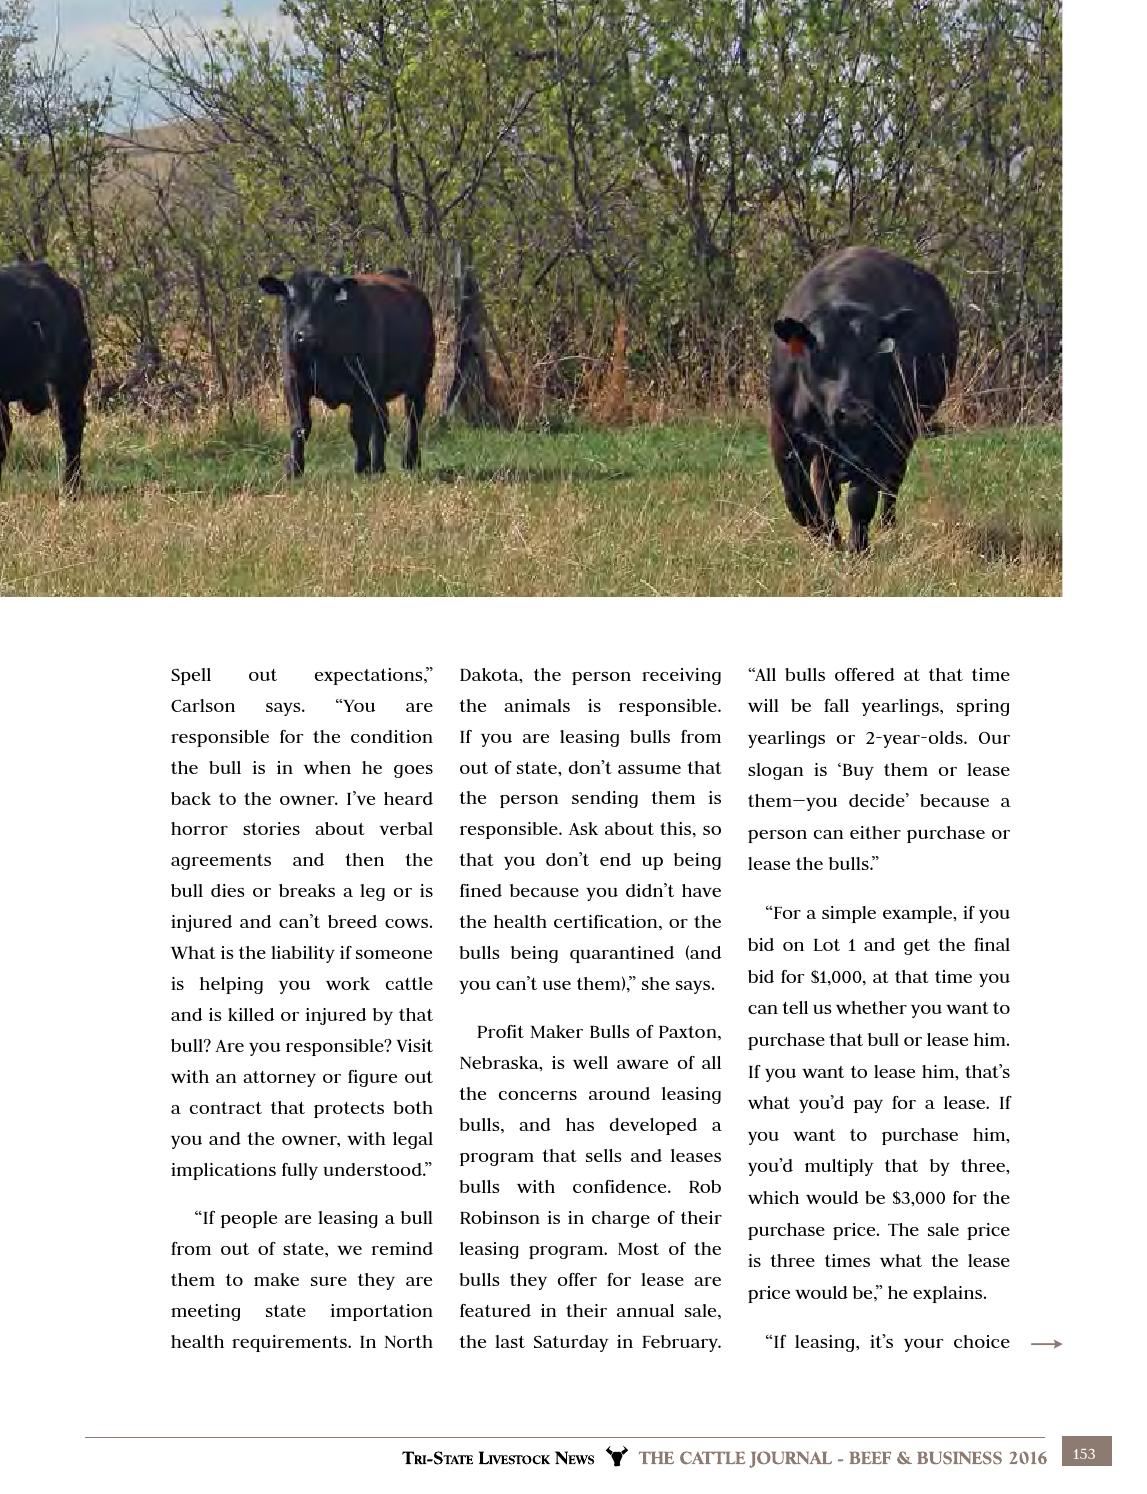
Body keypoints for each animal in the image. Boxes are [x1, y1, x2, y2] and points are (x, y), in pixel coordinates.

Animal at [259, 267, 435, 478]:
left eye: (326, 302)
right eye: (290, 300)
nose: (307, 336)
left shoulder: (362, 386)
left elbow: (358, 428)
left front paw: (362, 467)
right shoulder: (293, 382)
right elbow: (299, 426)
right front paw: (294, 469)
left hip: (419, 380)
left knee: (413, 417)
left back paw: (409, 461)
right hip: (379, 391)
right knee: (382, 421)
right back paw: (379, 466)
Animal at [768, 246, 958, 553]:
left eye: (872, 354)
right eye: (820, 354)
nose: (853, 413)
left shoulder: (884, 435)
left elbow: (861, 498)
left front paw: (858, 547)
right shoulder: (782, 432)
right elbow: (799, 500)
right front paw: (827, 538)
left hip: (906, 432)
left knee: (891, 482)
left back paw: (887, 525)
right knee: (825, 488)